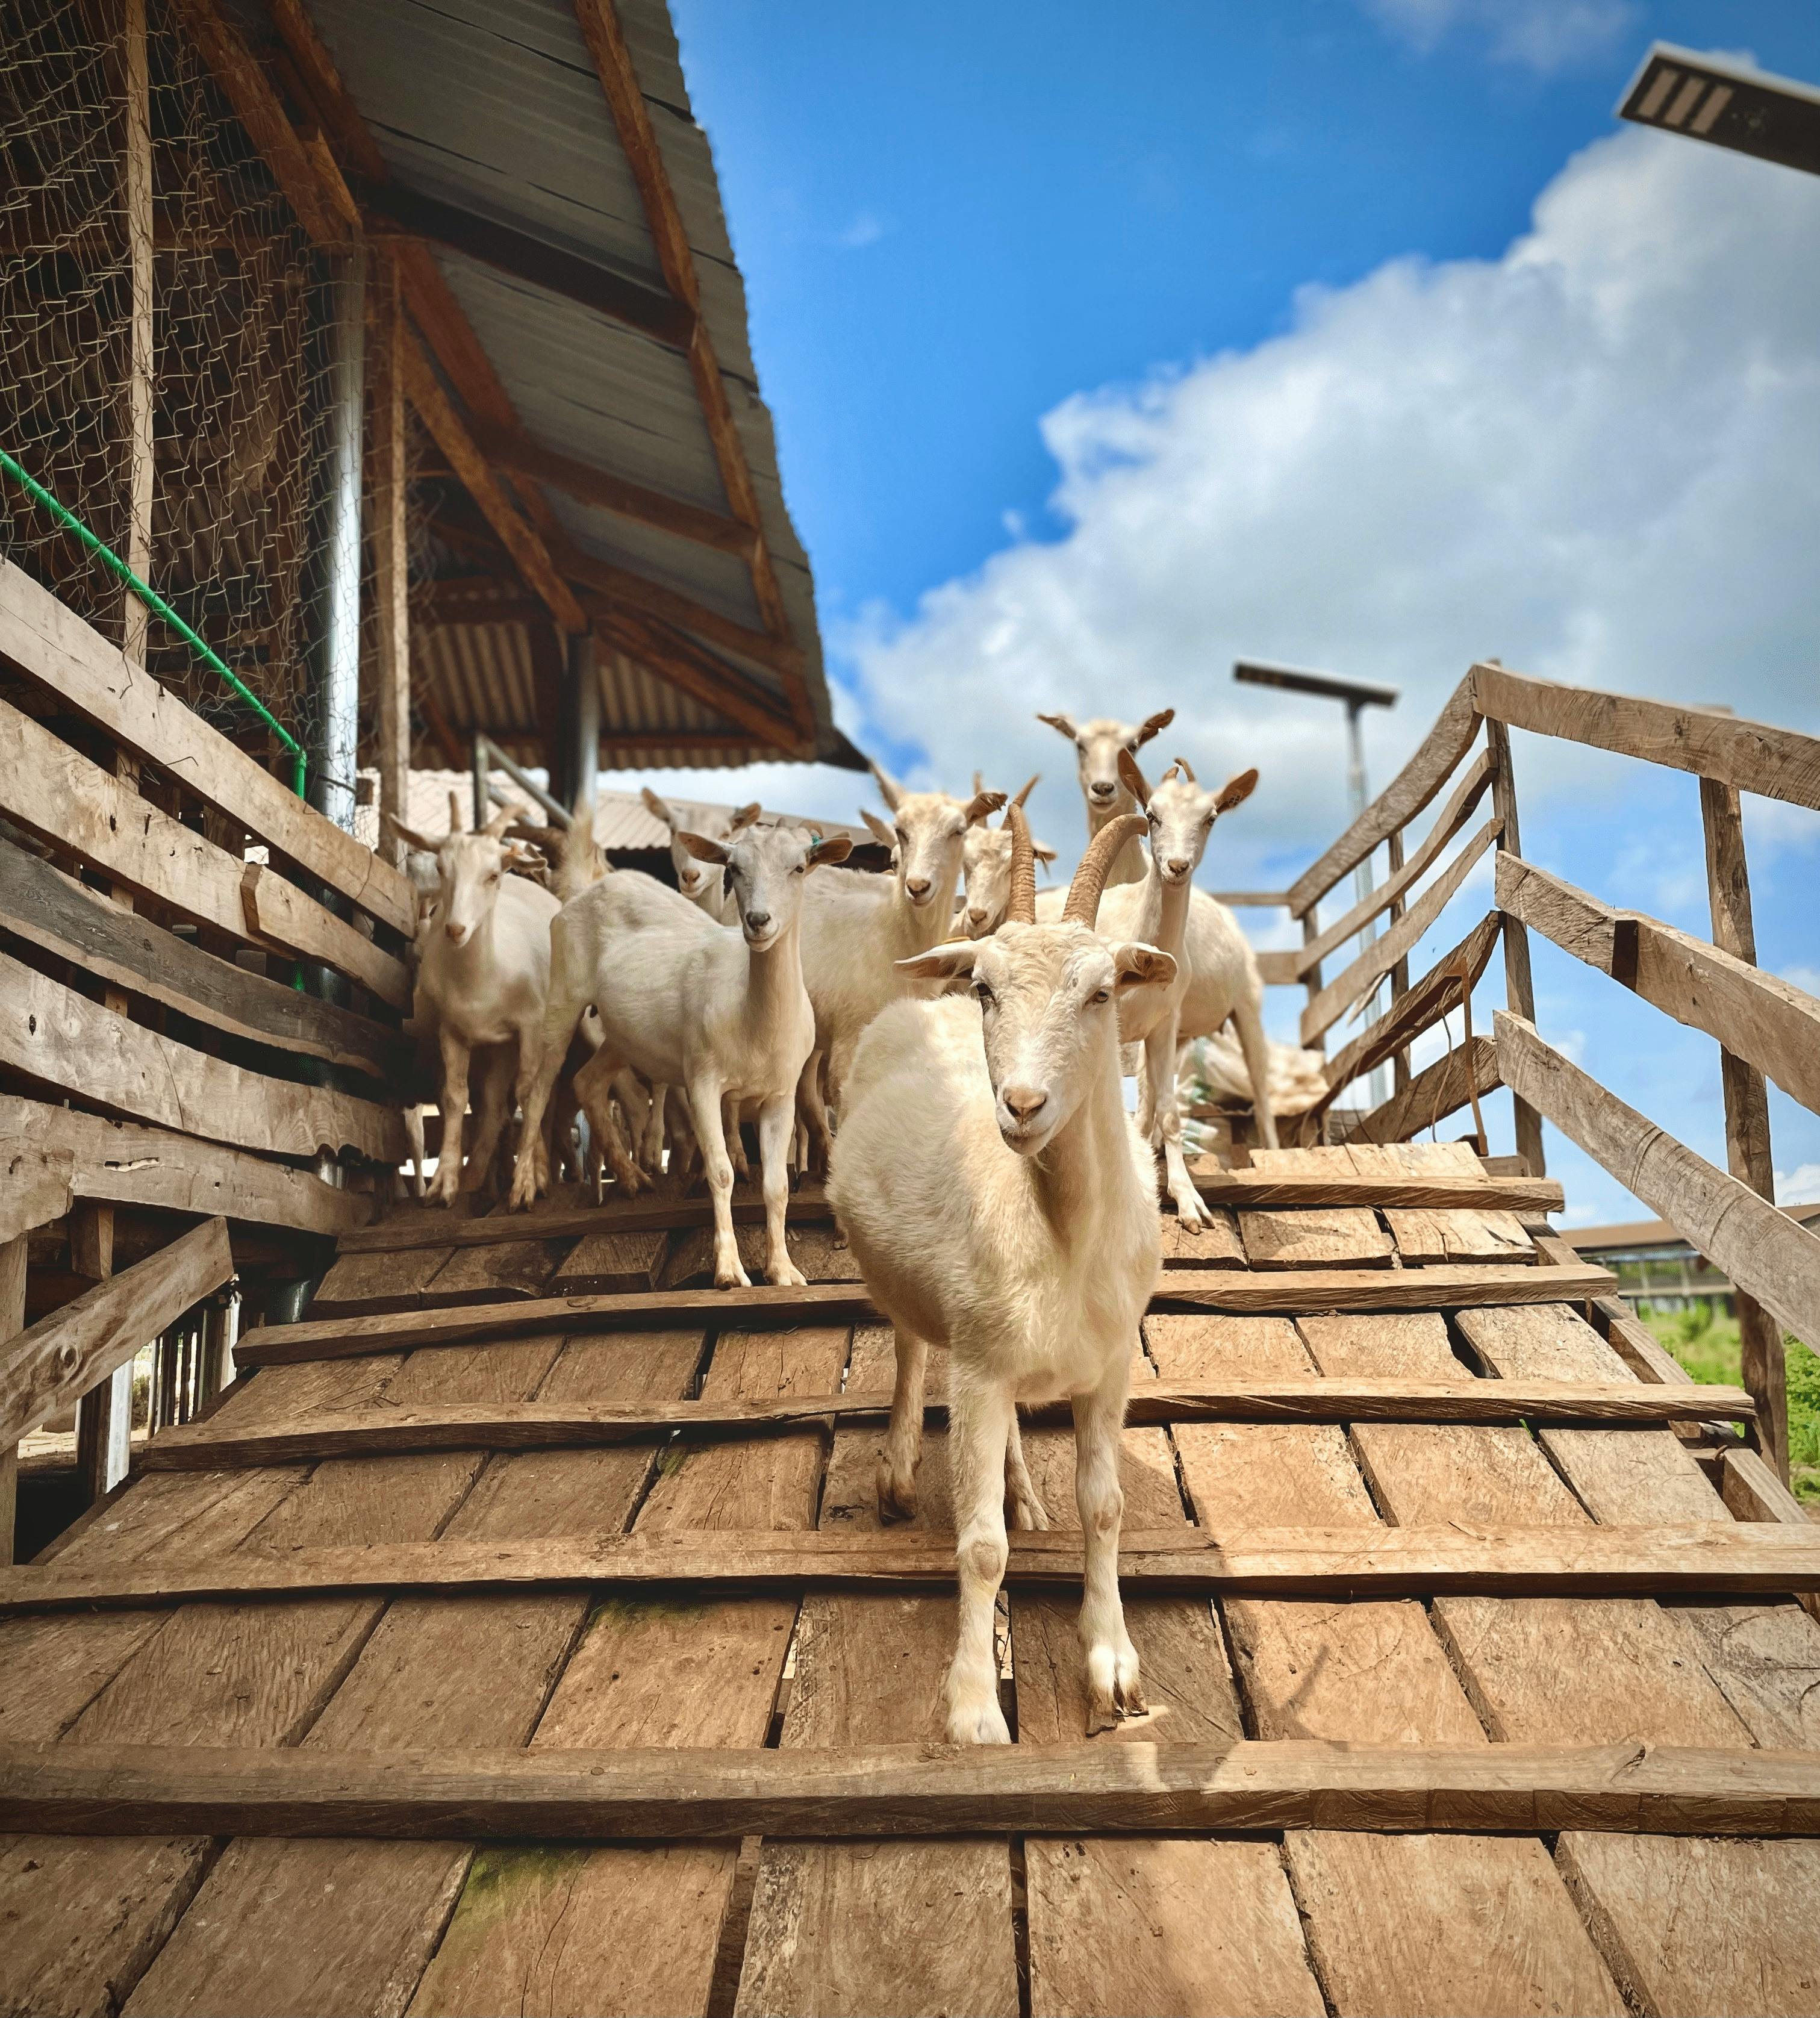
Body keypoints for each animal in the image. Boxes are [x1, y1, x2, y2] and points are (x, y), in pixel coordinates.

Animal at [387, 800, 557, 1204]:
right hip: (495, 1050)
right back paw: (475, 1178)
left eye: (492, 875)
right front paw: (444, 1184)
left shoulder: (530, 1027)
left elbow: (529, 1094)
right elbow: (454, 1097)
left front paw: (527, 1183)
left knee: (537, 1096)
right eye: (441, 869)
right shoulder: (452, 1031)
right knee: (492, 1108)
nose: (455, 929)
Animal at [512, 821, 851, 1285]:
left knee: (588, 1080)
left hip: (626, 1034)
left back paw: (632, 1177)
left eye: (799, 867)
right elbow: (722, 1171)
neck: (751, 1017)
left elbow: (777, 1184)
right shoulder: (702, 1079)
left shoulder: (781, 1094)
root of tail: (588, 888)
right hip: (564, 988)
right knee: (541, 1085)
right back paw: (523, 1188)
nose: (758, 921)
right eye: (733, 868)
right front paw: (729, 1272)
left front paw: (783, 1270)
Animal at [828, 808, 1173, 1742]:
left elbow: (1105, 1505)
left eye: (1102, 992)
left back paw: (1022, 1489)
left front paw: (1114, 1664)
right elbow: (980, 1546)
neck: (1062, 1234)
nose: (1021, 1106)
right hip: (909, 1293)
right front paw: (974, 1707)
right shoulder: (978, 1368)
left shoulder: (1109, 1366)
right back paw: (898, 1472)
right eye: (986, 989)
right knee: (910, 1349)